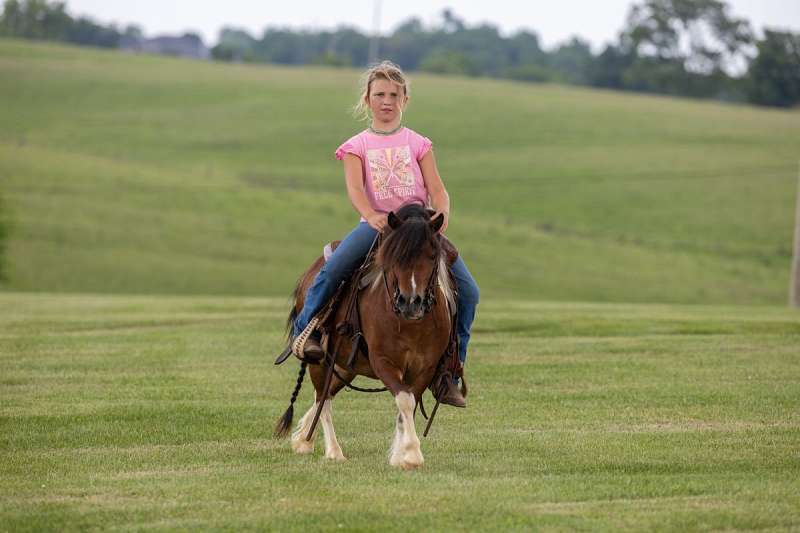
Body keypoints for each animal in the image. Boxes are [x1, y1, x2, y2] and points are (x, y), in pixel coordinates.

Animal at [274, 204, 455, 470]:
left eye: (433, 255)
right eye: (394, 256)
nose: (411, 302)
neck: (409, 324)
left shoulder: (426, 367)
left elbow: (407, 405)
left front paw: (399, 456)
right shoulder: (383, 362)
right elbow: (404, 400)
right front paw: (412, 454)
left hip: (345, 367)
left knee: (325, 395)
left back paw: (304, 440)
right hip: (321, 362)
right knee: (322, 399)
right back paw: (332, 450)